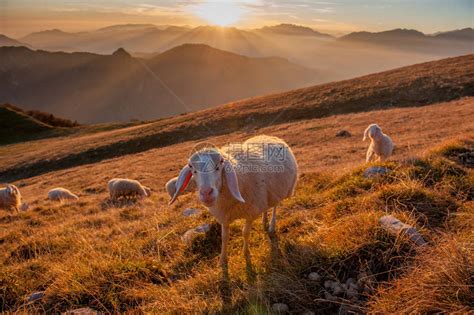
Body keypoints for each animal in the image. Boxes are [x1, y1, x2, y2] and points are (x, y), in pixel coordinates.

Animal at [168, 135, 298, 270]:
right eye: (191, 167)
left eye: (220, 163)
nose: (206, 193)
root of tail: (267, 135)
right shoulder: (224, 216)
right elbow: (224, 238)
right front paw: (222, 260)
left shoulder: (251, 212)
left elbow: (245, 233)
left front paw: (245, 253)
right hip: (266, 195)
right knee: (266, 207)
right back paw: (264, 221)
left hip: (280, 191)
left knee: (275, 207)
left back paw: (271, 226)